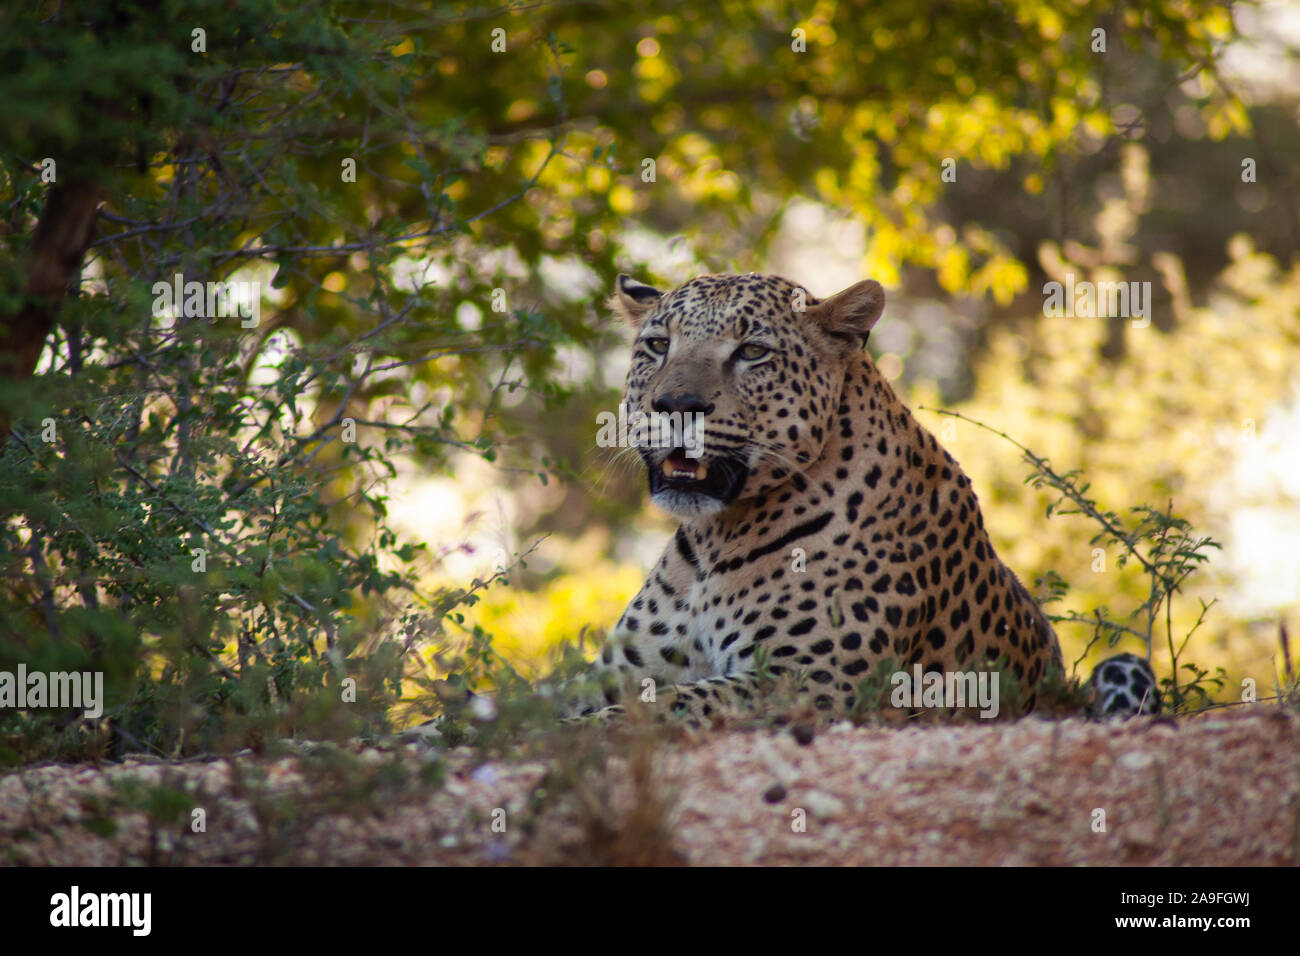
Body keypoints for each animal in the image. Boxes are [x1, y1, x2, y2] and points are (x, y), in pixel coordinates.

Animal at [558, 271, 1159, 726]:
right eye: (658, 345)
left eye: (752, 352)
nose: (675, 405)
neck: (714, 539)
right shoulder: (623, 671)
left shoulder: (808, 682)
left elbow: (669, 706)